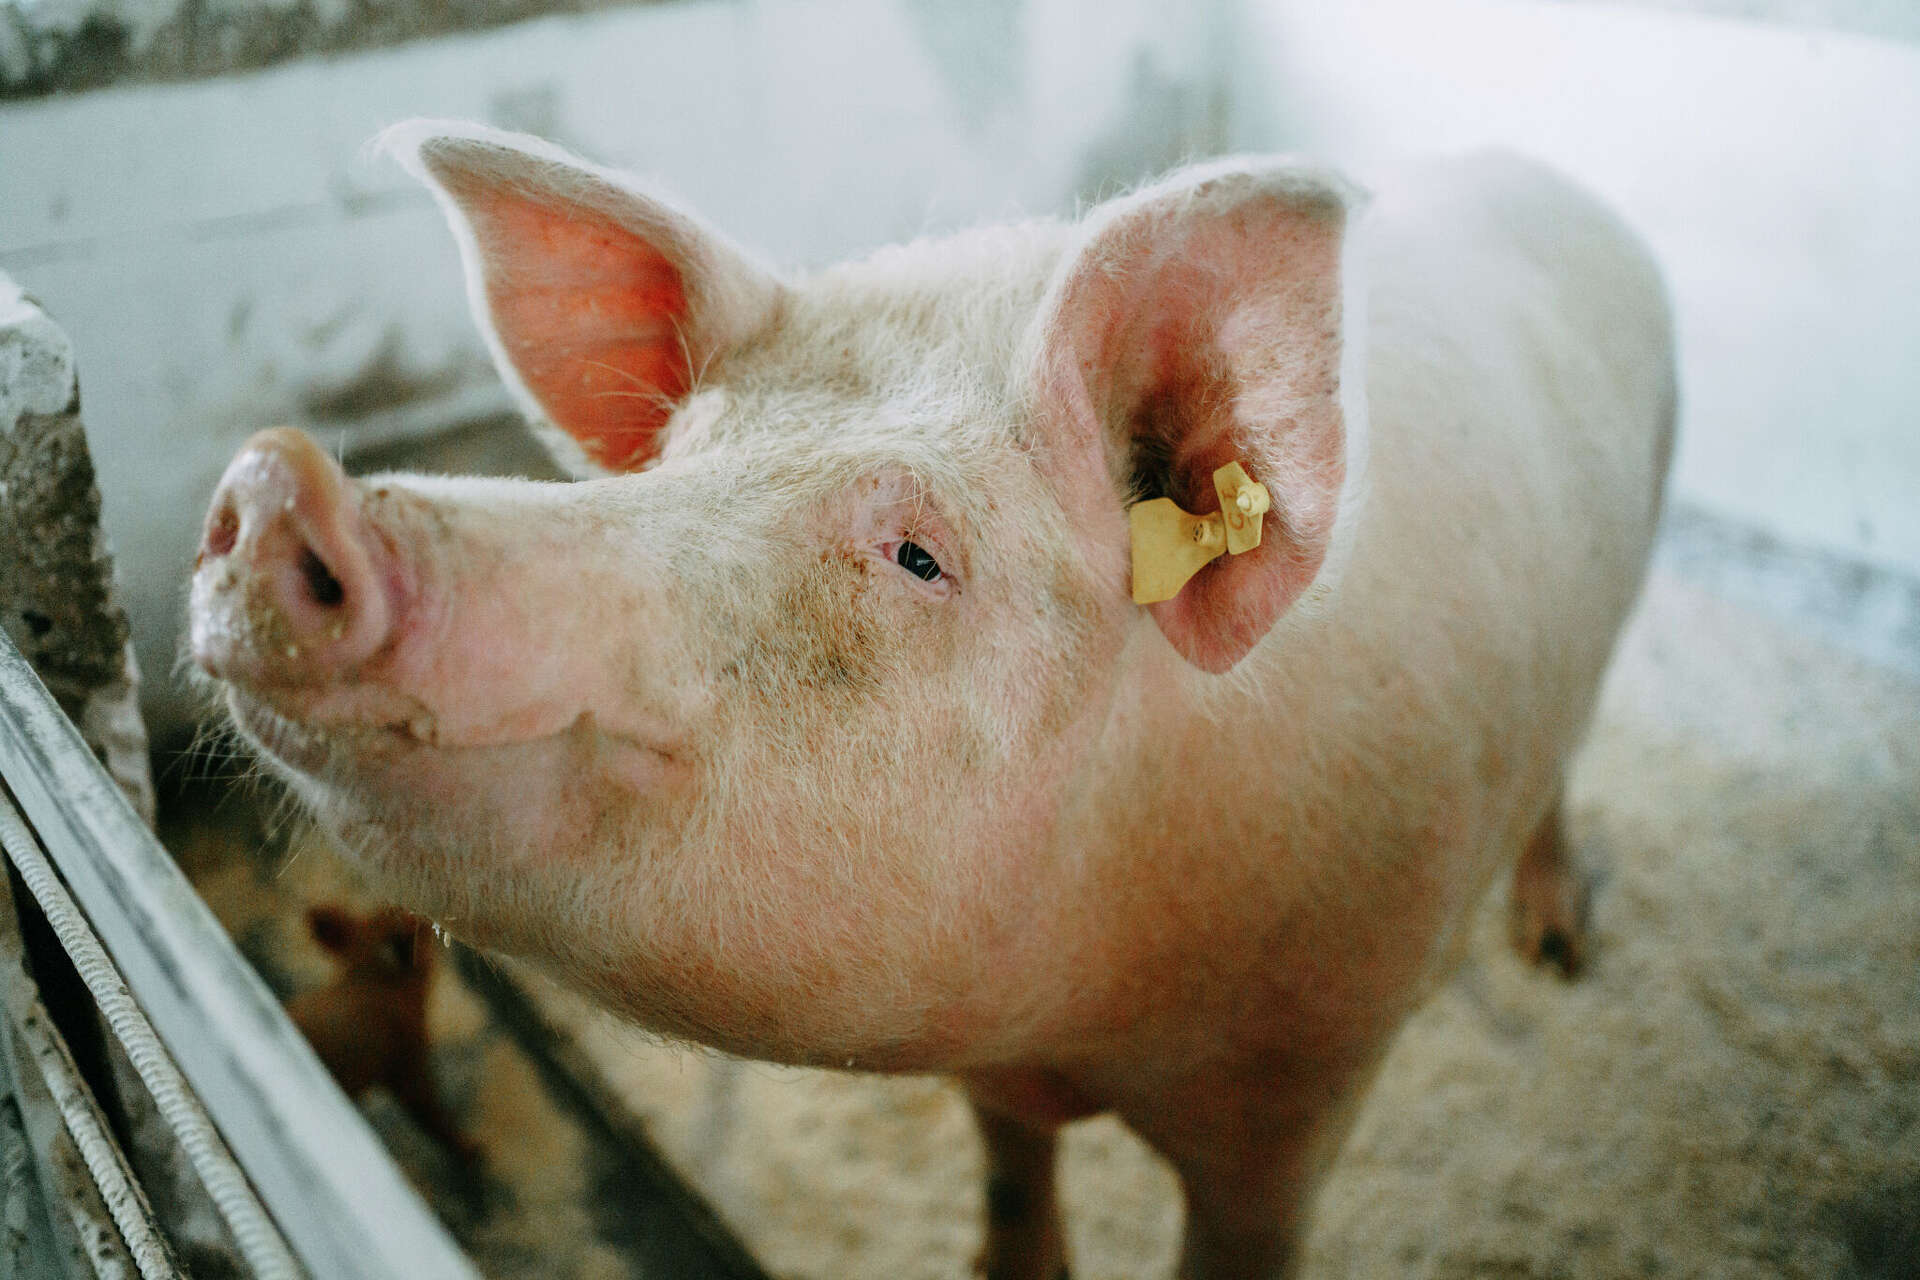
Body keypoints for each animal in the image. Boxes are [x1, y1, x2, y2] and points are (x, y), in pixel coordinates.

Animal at [189, 120, 1673, 1278]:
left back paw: (1557, 949)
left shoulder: (1309, 1076)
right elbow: (1011, 1174)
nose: (278, 484)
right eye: (673, 457)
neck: (1089, 1005)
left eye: (918, 554)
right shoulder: (986, 1054)